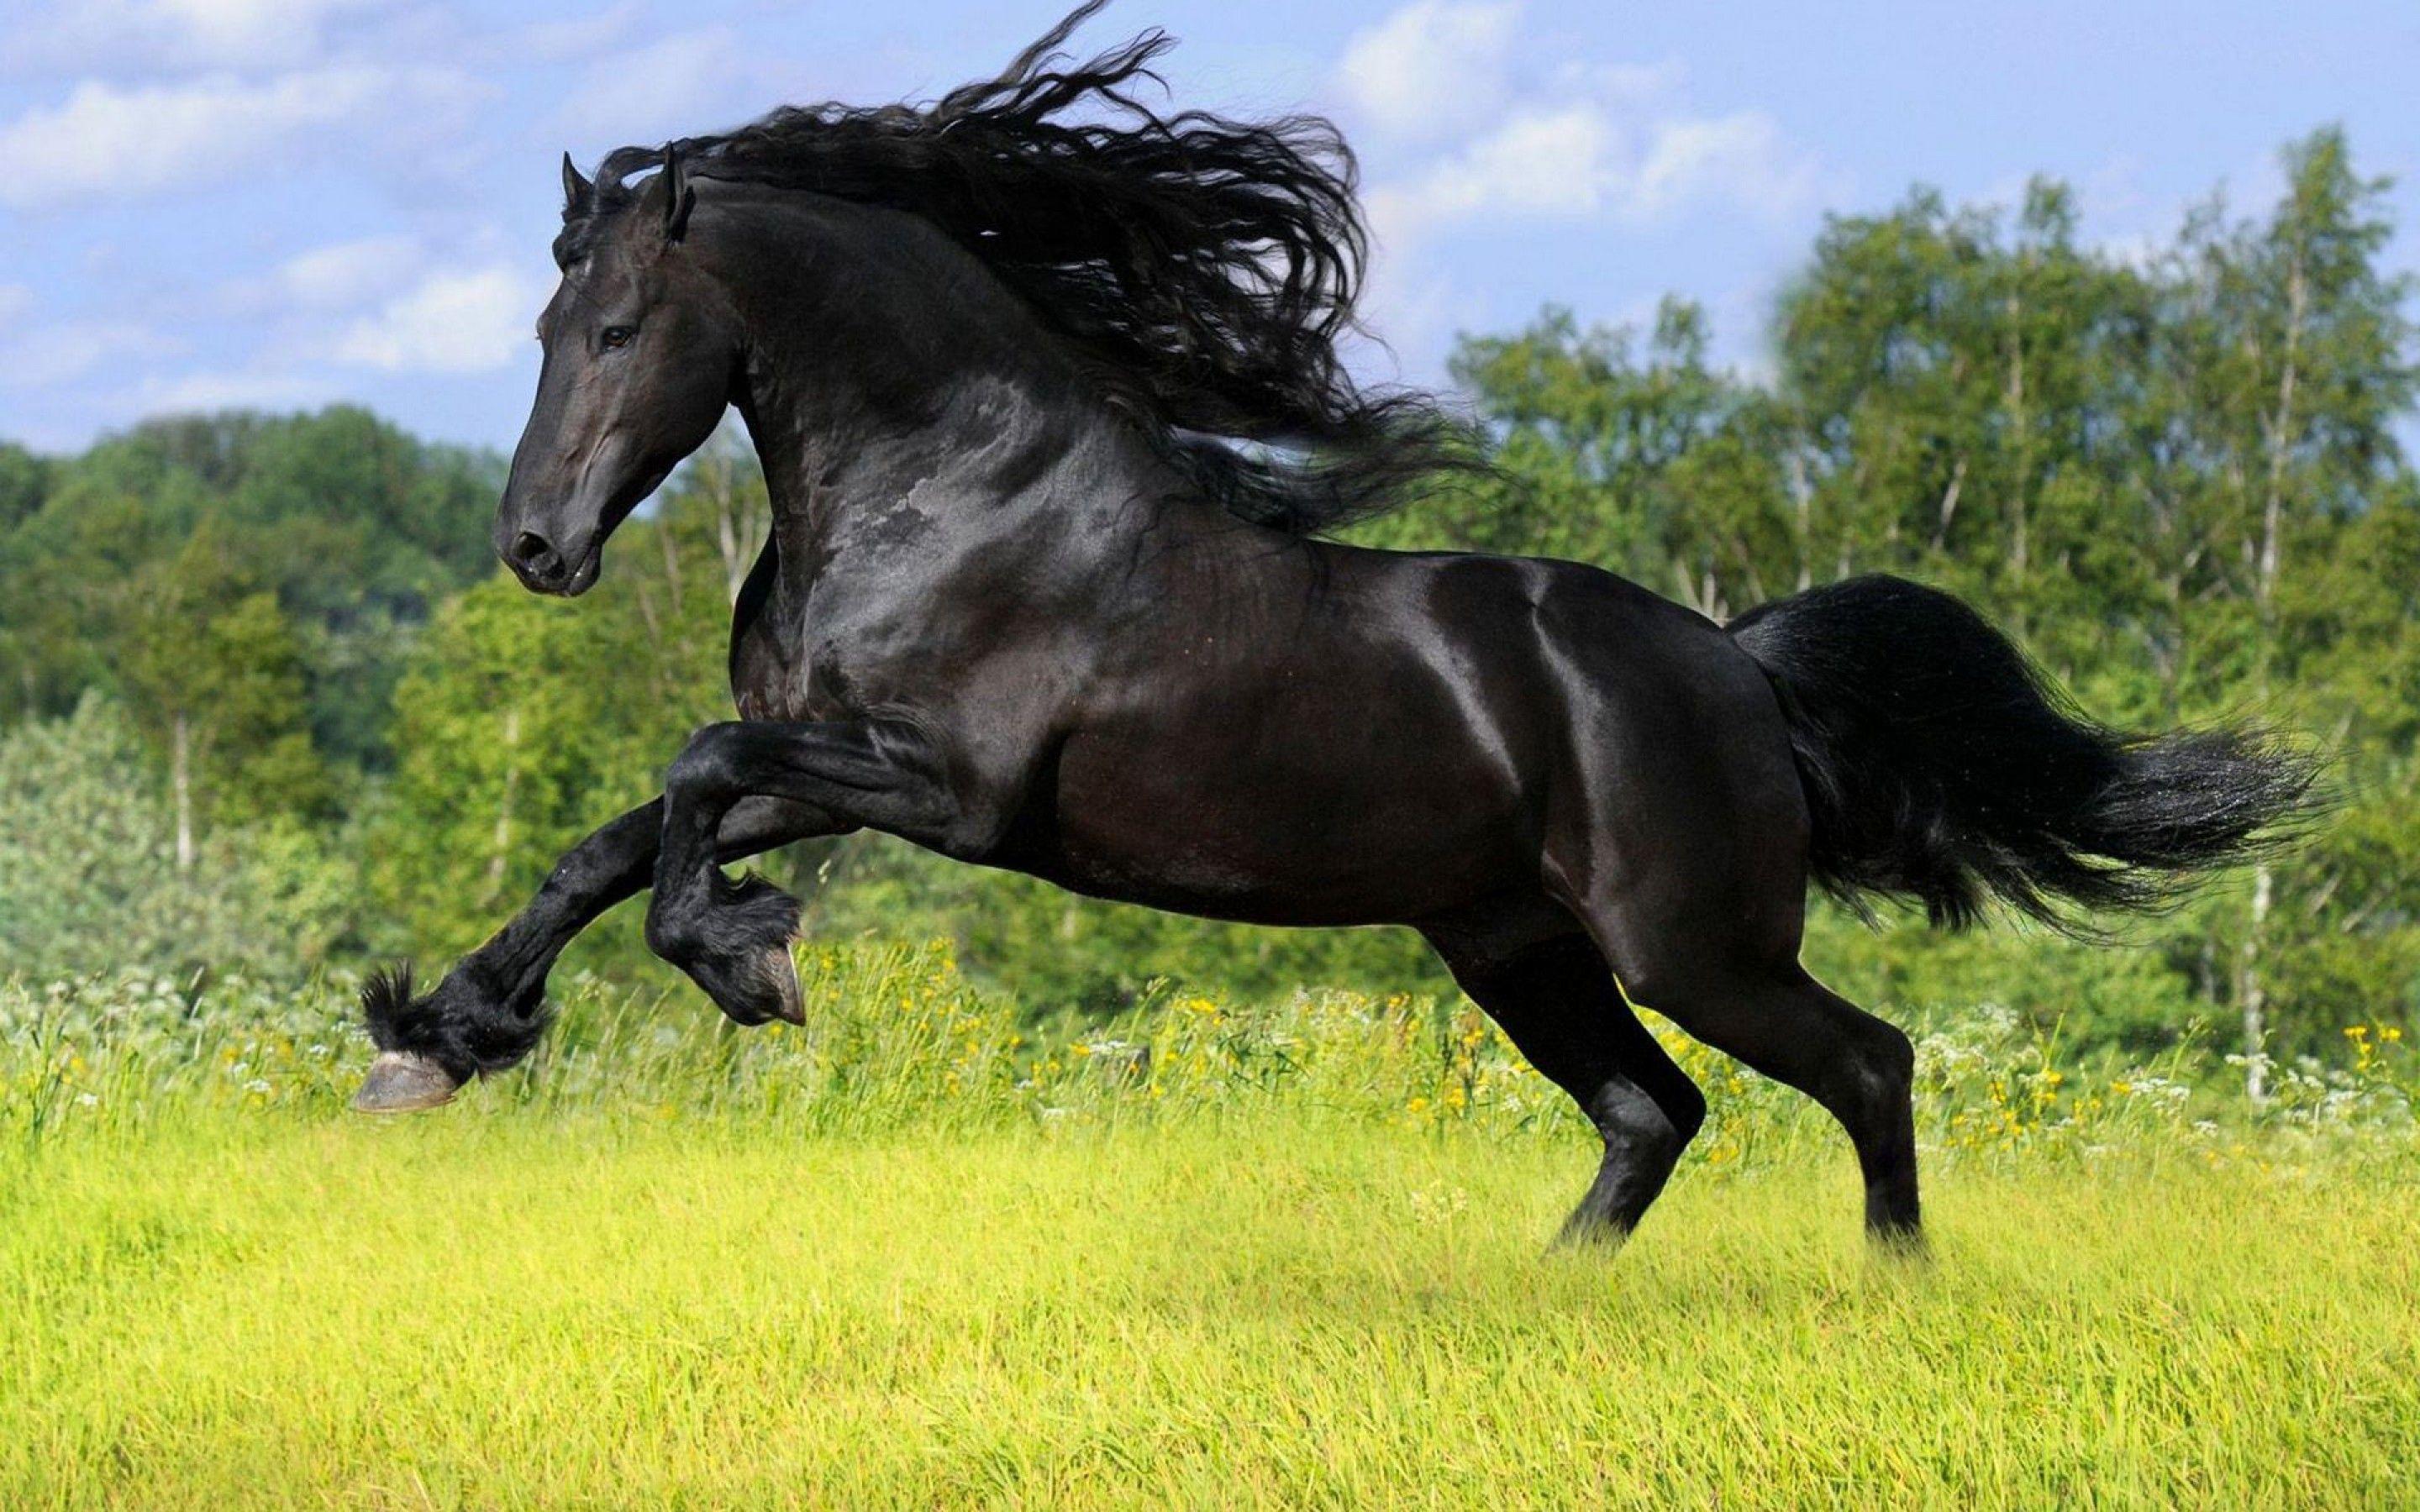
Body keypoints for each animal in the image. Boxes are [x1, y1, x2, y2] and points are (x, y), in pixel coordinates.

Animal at [355, 3, 2315, 1248]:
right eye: (545, 328)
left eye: (619, 329)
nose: (537, 546)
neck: (948, 489)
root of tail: (1739, 665)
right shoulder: (833, 765)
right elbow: (616, 836)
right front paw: (438, 1040)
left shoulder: (953, 794)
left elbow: (686, 781)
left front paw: (745, 965)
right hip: (1514, 943)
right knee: (1652, 1117)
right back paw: (1542, 1306)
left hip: (1691, 943)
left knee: (1865, 1066)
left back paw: (1890, 1296)